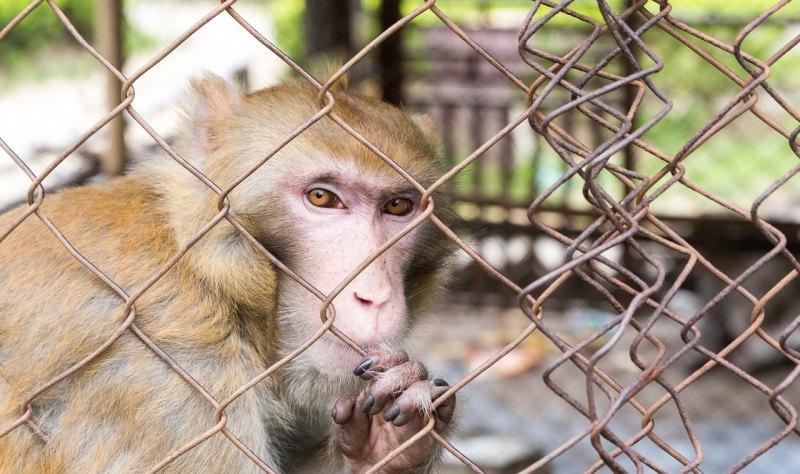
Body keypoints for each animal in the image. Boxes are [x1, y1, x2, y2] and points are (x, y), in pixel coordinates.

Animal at [0, 76, 456, 472]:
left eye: (397, 206)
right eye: (322, 197)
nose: (374, 296)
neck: (208, 274)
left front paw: (385, 446)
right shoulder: (166, 369)